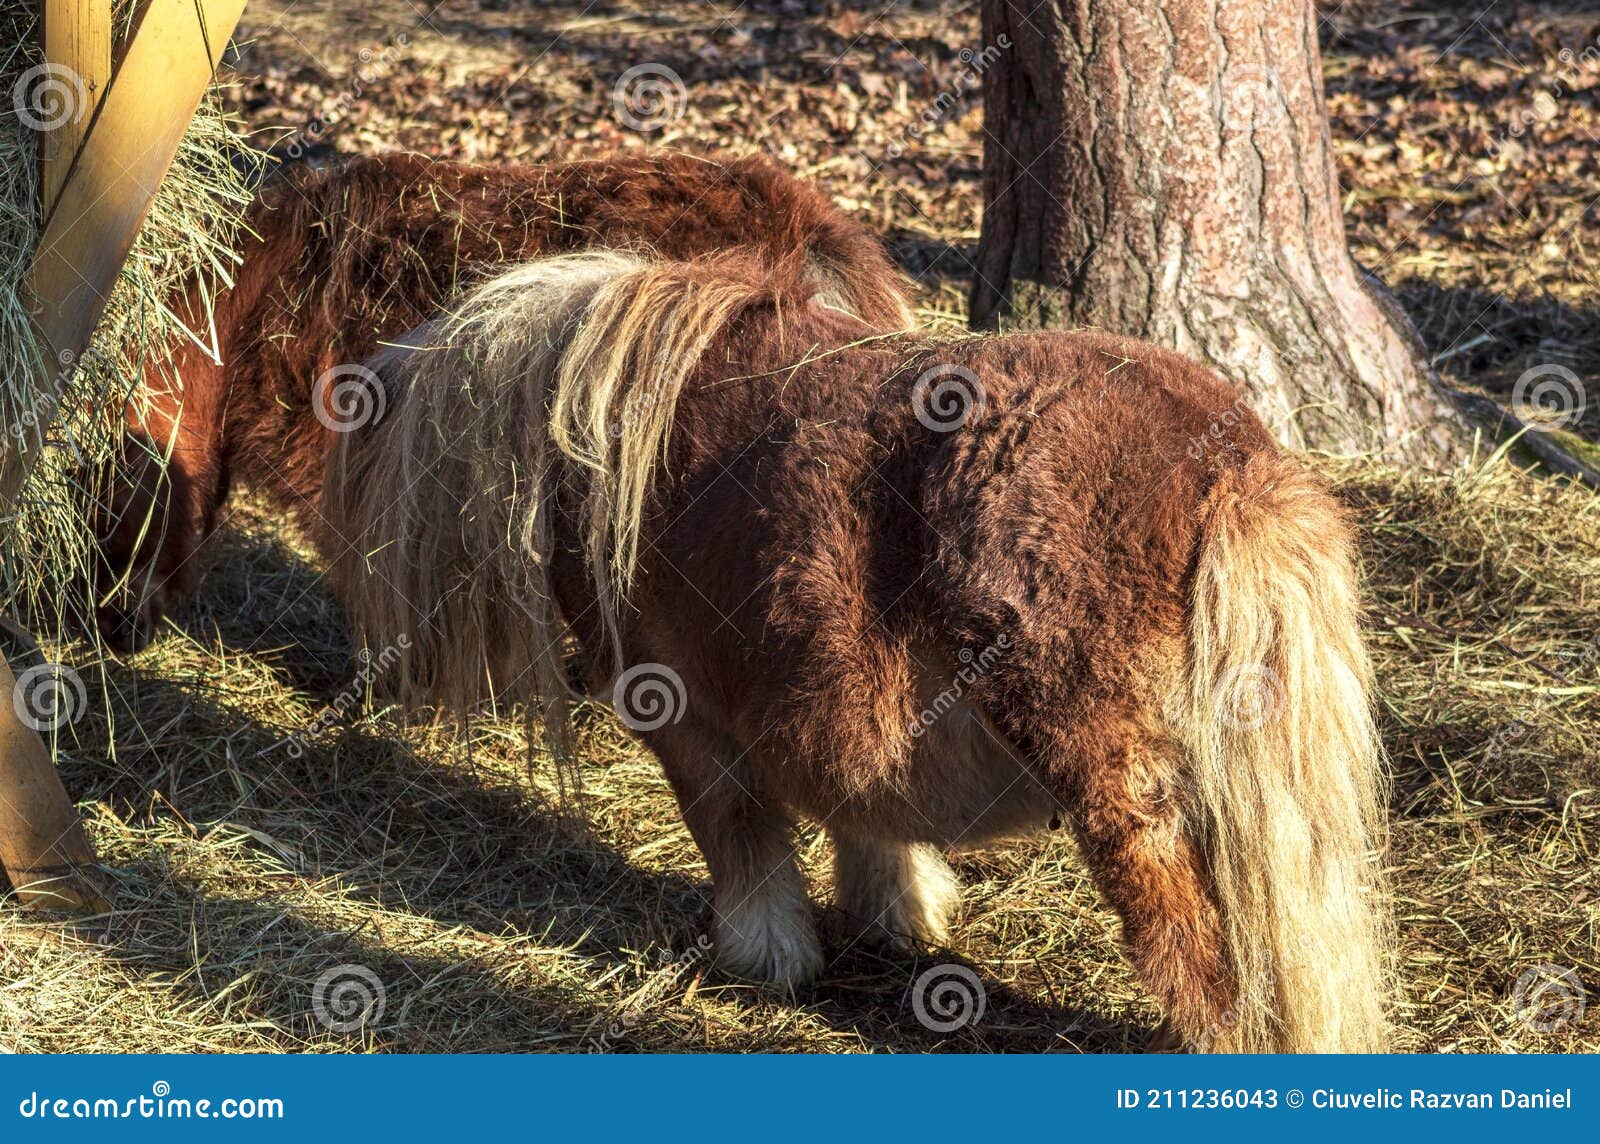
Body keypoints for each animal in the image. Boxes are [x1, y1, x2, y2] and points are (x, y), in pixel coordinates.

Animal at [322, 247, 1393, 1053]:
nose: (373, 681)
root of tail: (1229, 465)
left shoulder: (689, 723)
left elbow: (741, 839)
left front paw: (767, 959)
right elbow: (866, 815)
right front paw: (898, 916)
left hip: (1129, 798)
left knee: (1204, 957)